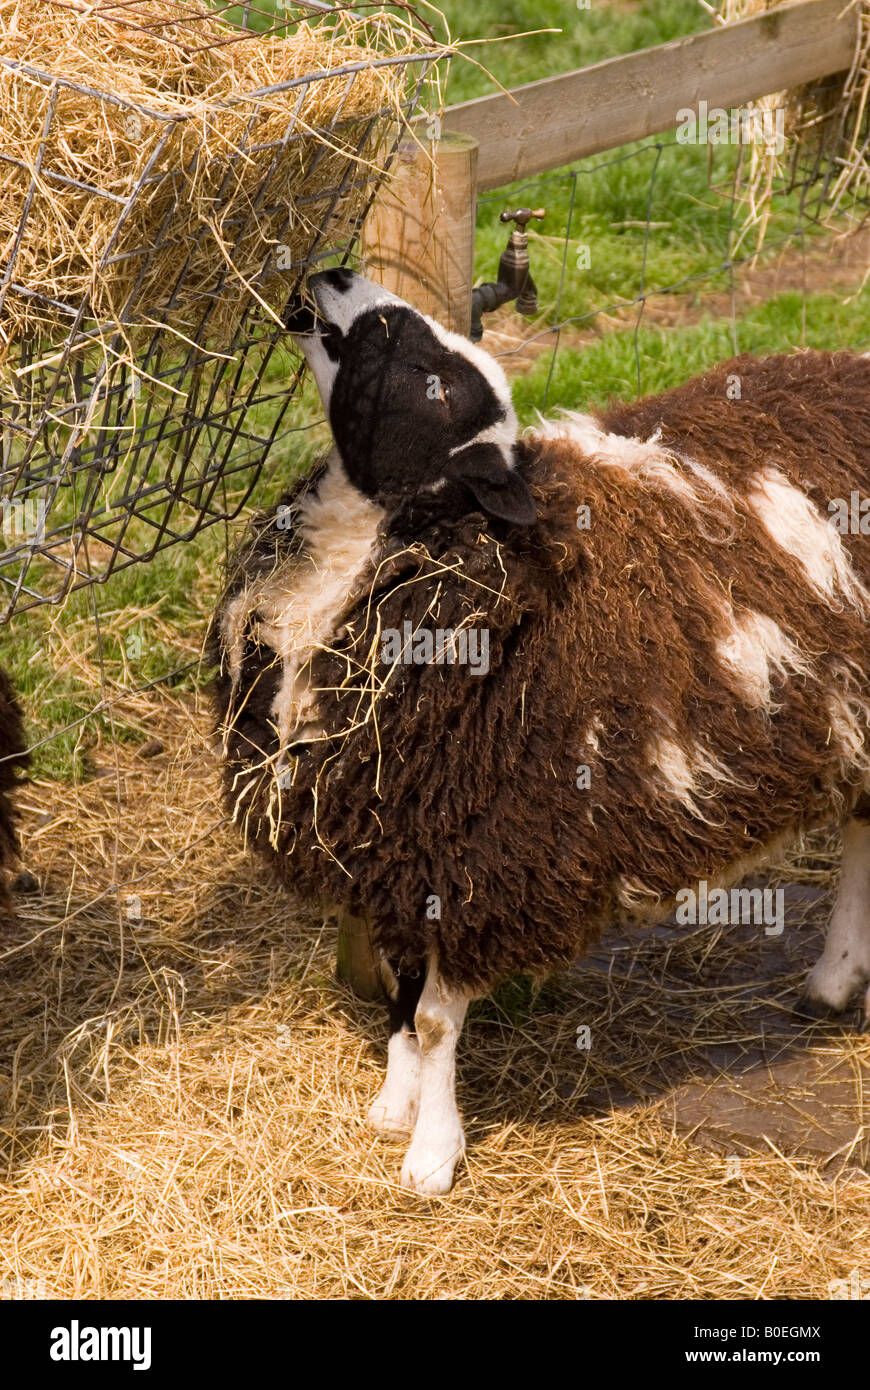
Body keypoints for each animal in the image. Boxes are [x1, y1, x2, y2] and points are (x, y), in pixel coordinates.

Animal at [211, 267, 870, 1195]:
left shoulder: (479, 855)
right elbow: (401, 999)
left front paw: (432, 1154)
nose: (334, 276)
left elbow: (438, 1019)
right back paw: (837, 980)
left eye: (435, 384)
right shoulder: (398, 854)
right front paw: (394, 1103)